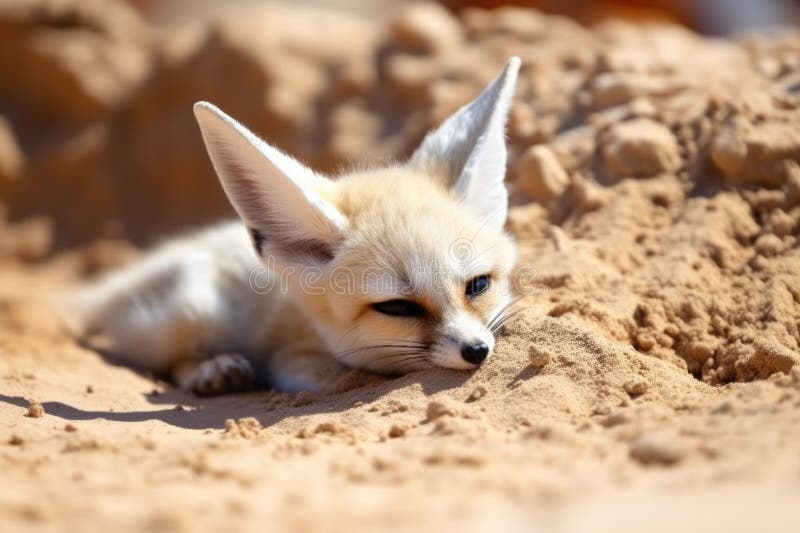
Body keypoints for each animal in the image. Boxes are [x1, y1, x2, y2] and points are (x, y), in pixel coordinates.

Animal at [69, 57, 521, 396]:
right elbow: (332, 374)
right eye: (398, 307)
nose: (476, 351)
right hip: (189, 315)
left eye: (478, 285)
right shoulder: (291, 360)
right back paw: (213, 370)